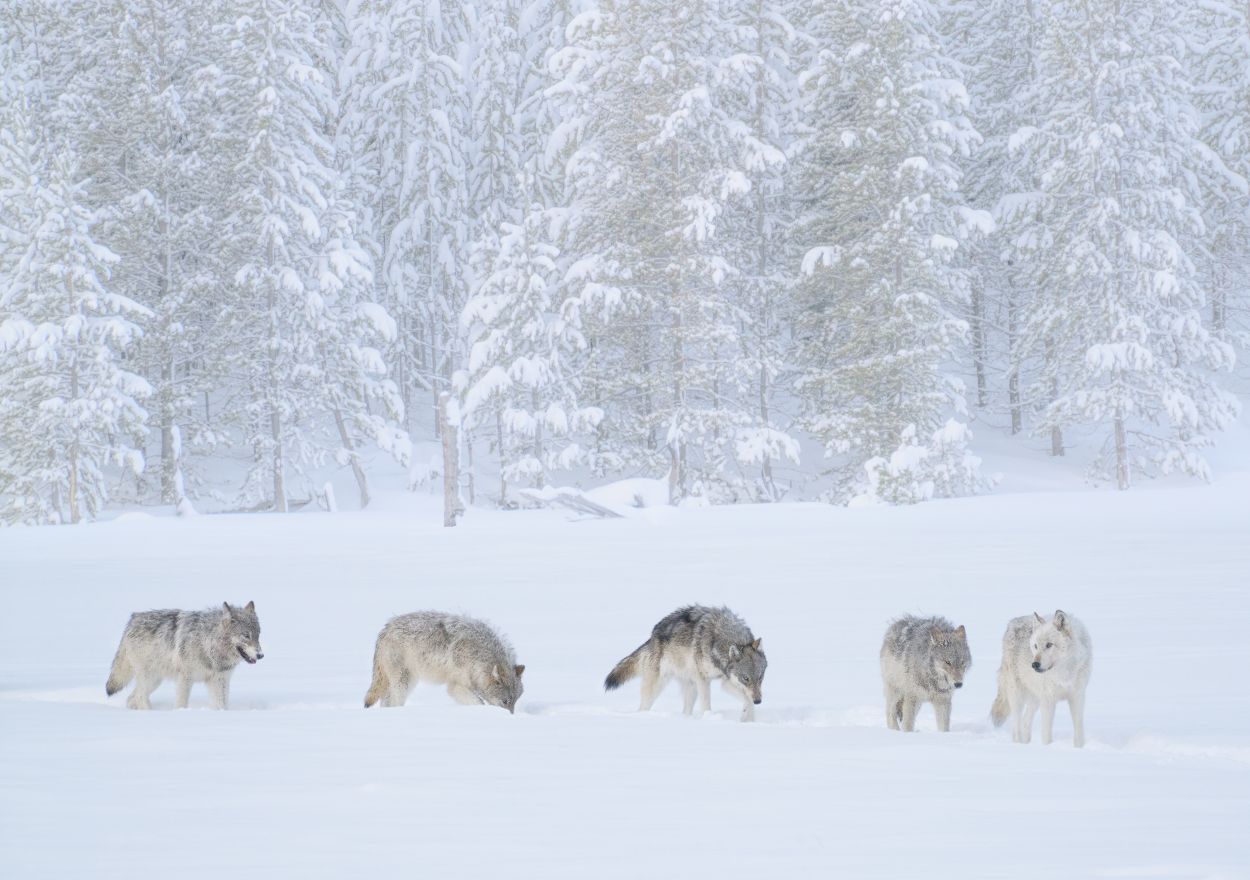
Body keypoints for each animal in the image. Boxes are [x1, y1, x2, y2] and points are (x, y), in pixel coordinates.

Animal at [105, 601, 263, 710]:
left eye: (258, 635)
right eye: (246, 635)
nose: (261, 655)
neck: (207, 642)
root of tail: (132, 620)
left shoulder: (220, 680)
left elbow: (221, 705)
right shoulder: (185, 678)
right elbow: (182, 703)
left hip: (155, 680)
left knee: (131, 698)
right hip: (149, 678)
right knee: (139, 697)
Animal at [363, 612, 524, 713]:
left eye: (515, 701)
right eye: (505, 701)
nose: (510, 716)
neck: (479, 656)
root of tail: (385, 629)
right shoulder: (455, 686)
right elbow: (478, 702)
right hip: (403, 682)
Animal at [604, 605, 767, 722]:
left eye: (760, 678)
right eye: (746, 678)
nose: (759, 701)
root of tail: (652, 636)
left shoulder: (726, 680)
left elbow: (746, 698)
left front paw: (748, 719)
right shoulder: (704, 680)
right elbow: (707, 704)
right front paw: (709, 718)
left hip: (691, 687)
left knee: (686, 710)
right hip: (657, 687)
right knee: (643, 707)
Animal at [991, 610, 1092, 747]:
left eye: (1049, 645)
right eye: (1035, 646)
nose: (1034, 664)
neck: (1063, 674)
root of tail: (1011, 623)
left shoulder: (1077, 697)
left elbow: (1078, 733)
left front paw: (1079, 748)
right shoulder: (1048, 699)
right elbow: (1046, 735)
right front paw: (1047, 748)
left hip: (1035, 698)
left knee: (1025, 722)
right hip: (1017, 696)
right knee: (1016, 727)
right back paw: (1018, 745)